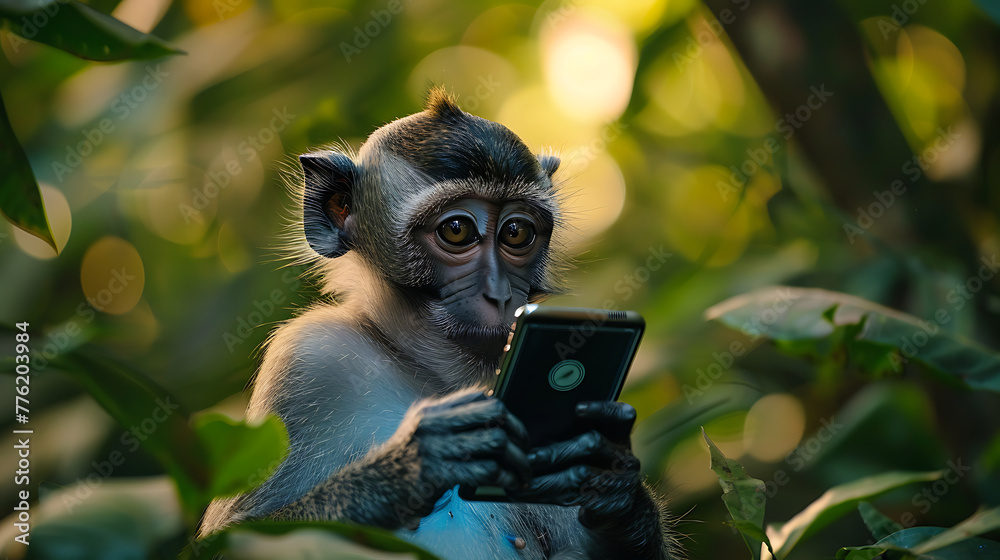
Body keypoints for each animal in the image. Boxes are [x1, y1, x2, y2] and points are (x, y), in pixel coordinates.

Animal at [199, 88, 683, 559]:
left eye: (516, 233)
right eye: (456, 230)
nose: (500, 294)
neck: (426, 372)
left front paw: (618, 485)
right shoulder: (309, 358)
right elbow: (233, 540)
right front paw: (411, 466)